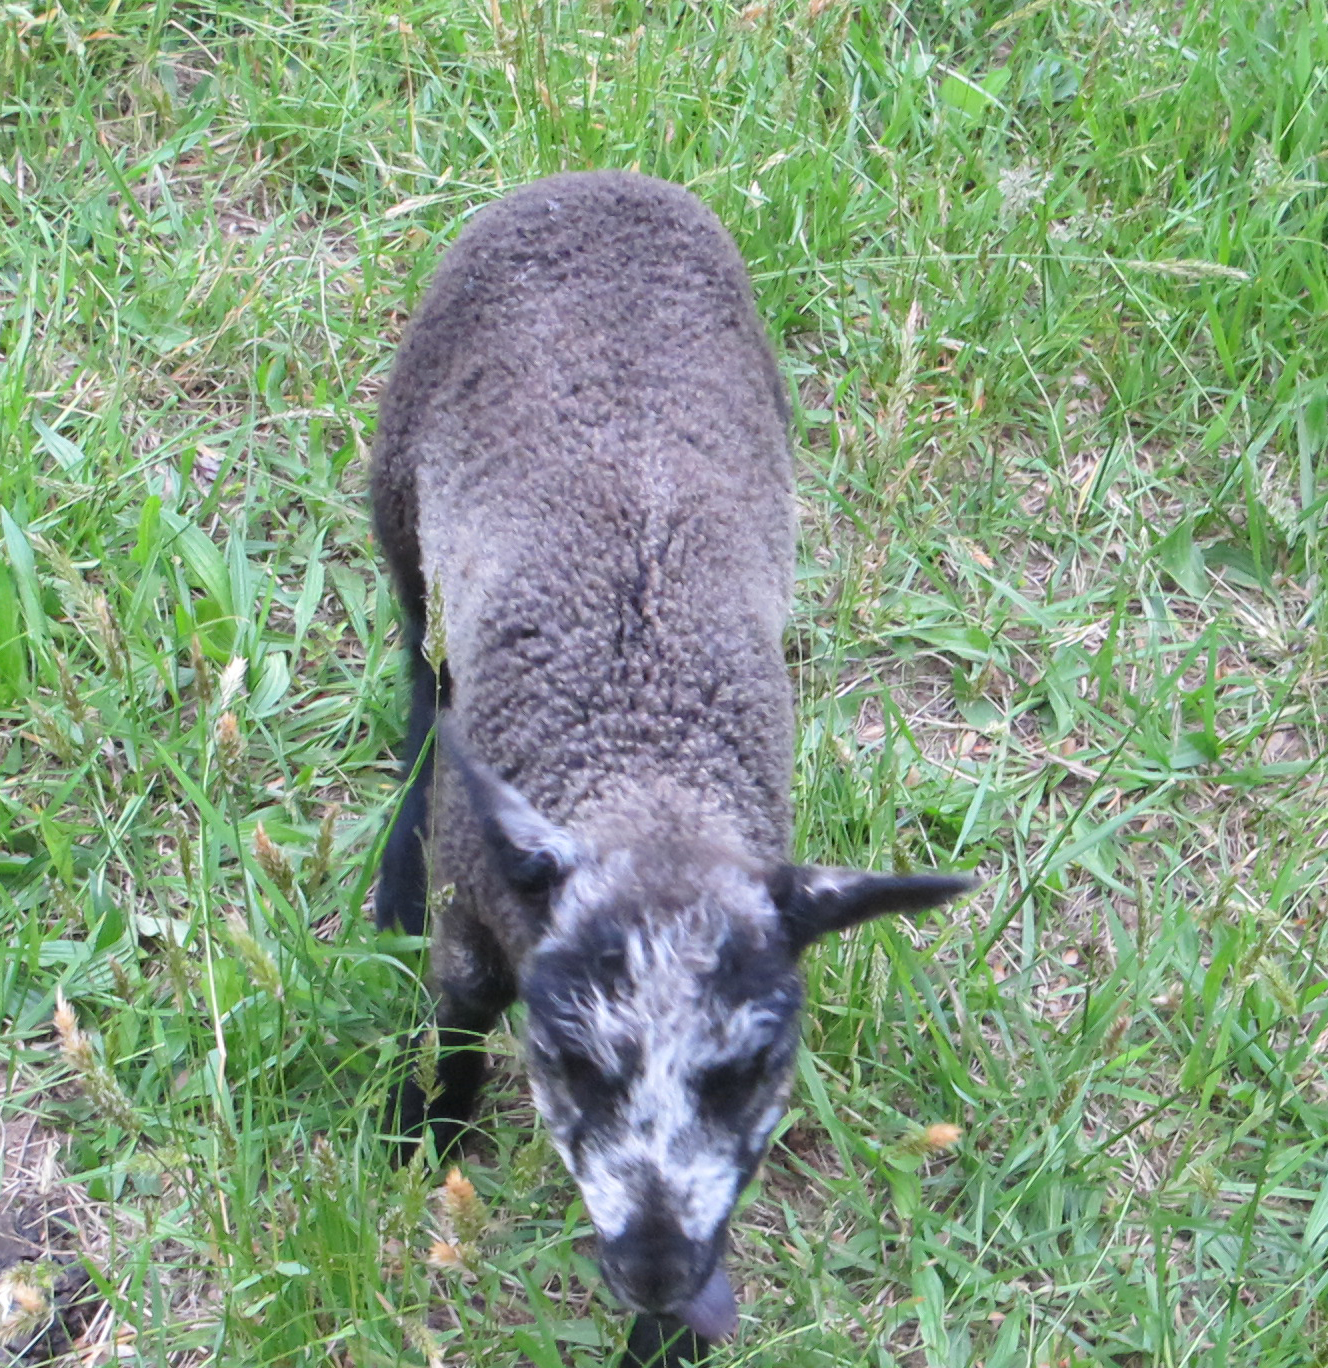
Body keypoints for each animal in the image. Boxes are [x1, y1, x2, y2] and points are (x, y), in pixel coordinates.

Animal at [370, 169, 974, 1367]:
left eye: (749, 1068)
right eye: (571, 1058)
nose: (659, 1271)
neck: (648, 774)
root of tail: (597, 178)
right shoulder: (478, 914)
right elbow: (457, 1015)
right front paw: (432, 1133)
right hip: (399, 472)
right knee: (419, 657)